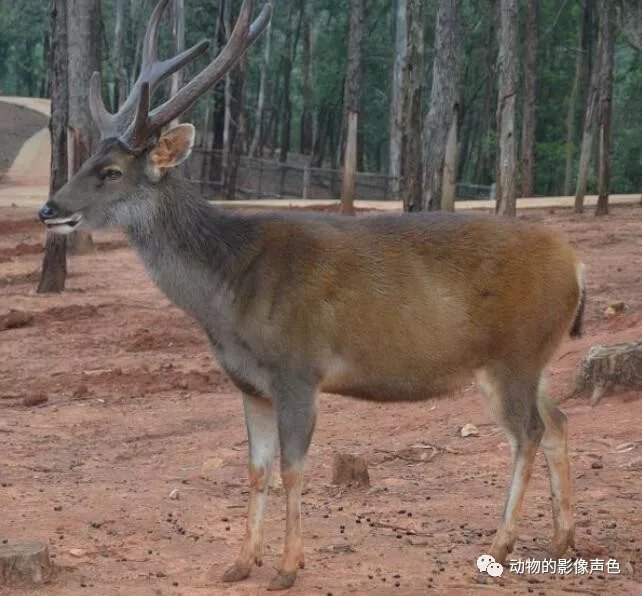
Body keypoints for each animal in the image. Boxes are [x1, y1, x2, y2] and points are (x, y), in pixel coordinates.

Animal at [38, 0, 585, 590]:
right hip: (534, 359)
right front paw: (240, 562)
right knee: (558, 422)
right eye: (84, 160)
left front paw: (287, 567)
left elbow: (293, 468)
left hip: (513, 355)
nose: (48, 209)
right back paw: (562, 540)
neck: (229, 290)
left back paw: (501, 545)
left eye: (111, 171)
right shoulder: (249, 383)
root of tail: (578, 265)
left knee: (527, 434)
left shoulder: (298, 368)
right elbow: (256, 469)